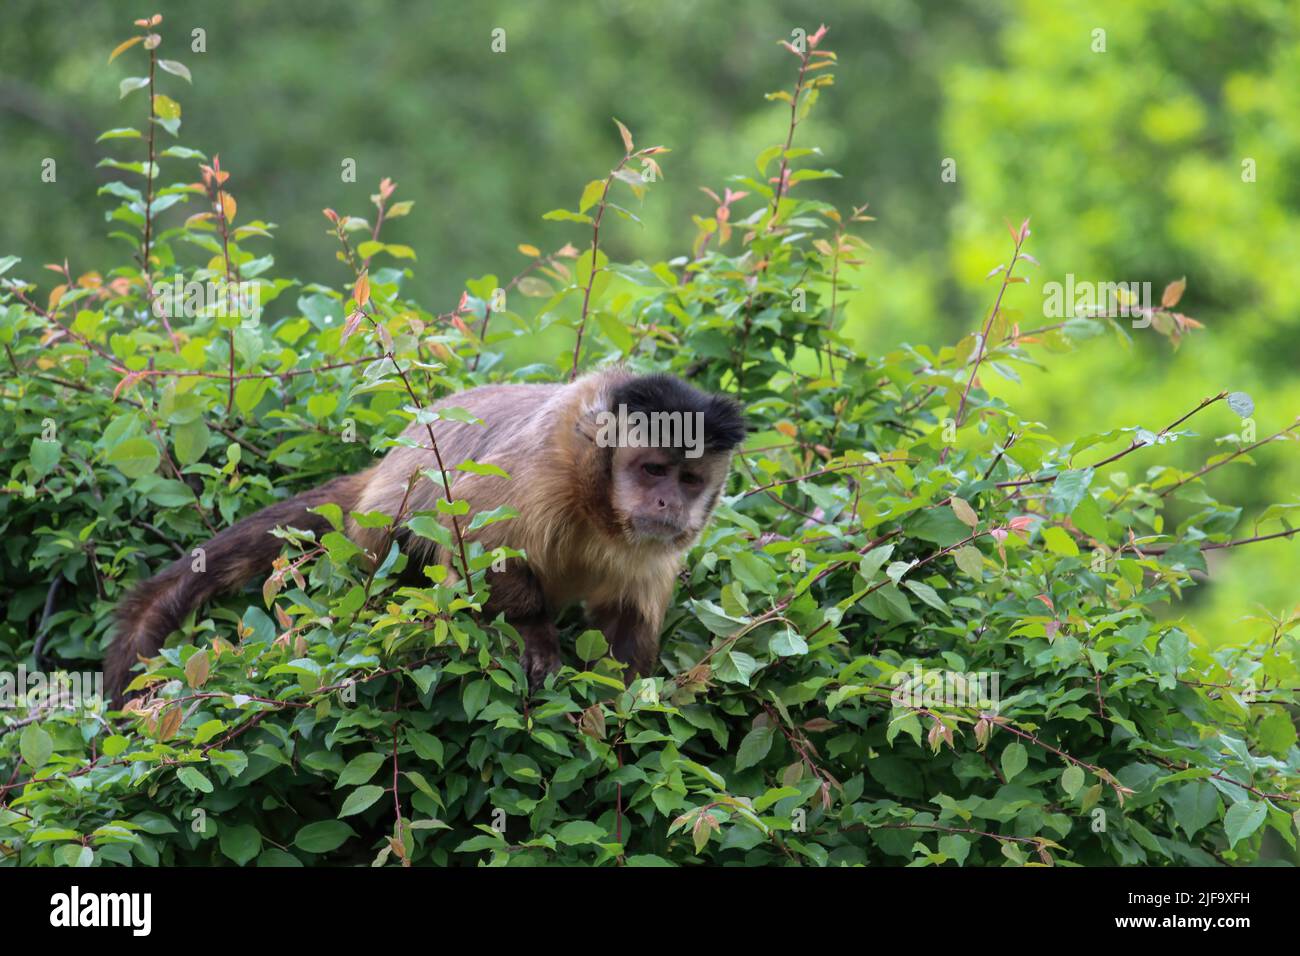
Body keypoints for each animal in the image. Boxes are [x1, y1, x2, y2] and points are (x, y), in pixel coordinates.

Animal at [105, 367, 746, 705]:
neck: (600, 507)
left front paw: (626, 694)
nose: (667, 503)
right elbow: (473, 529)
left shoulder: (659, 544)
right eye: (652, 470)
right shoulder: (549, 468)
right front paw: (535, 637)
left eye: (689, 479)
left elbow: (626, 622)